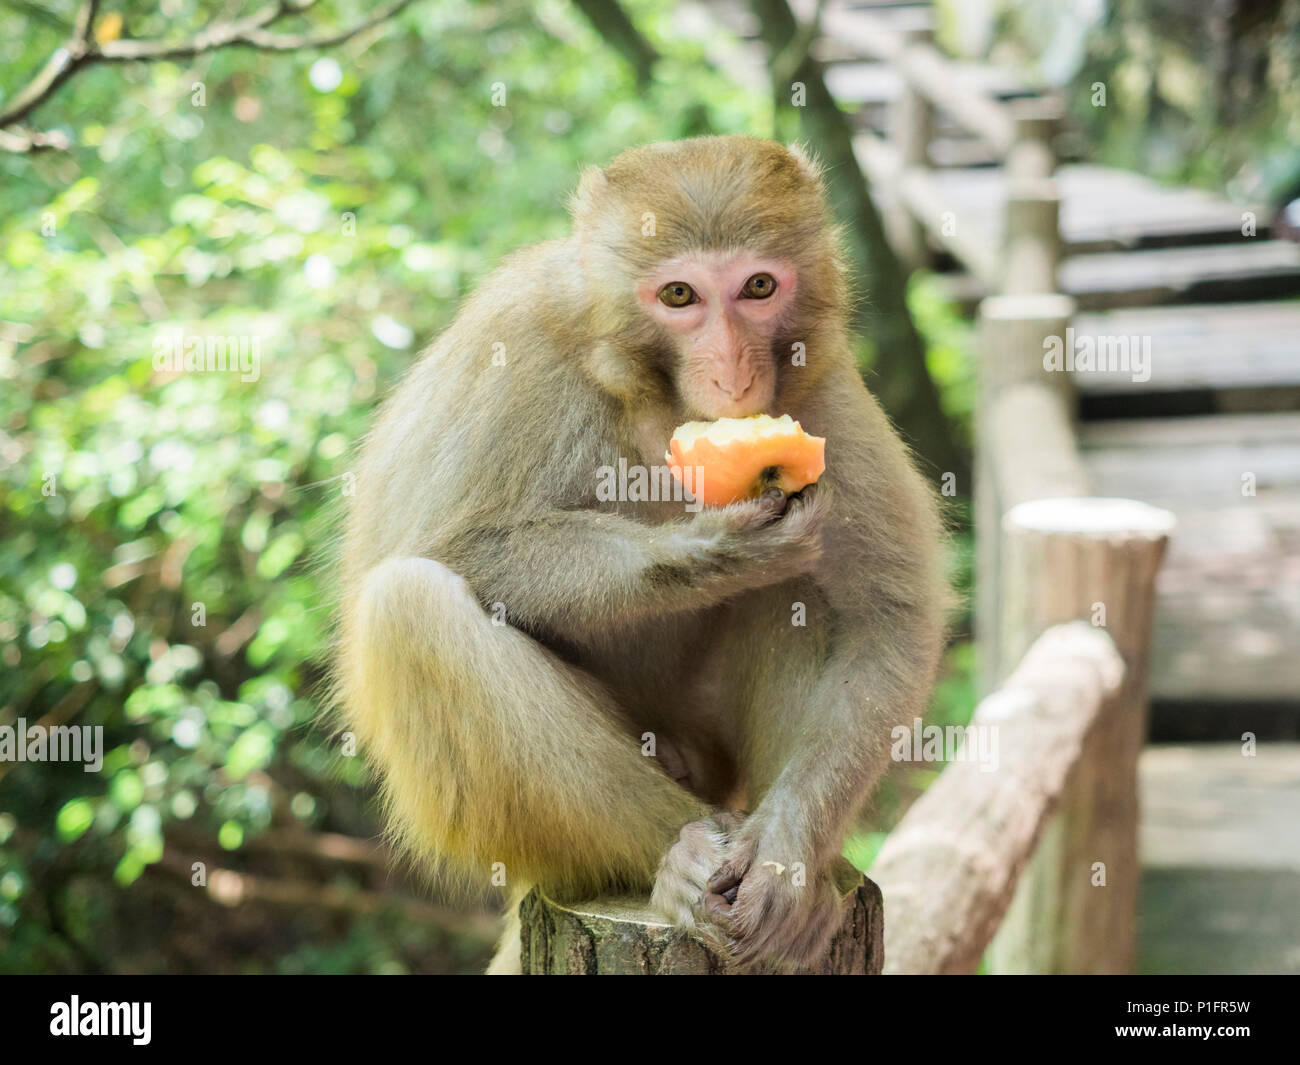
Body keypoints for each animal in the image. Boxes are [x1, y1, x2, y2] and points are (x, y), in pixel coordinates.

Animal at [333, 135, 951, 974]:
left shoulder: (821, 384)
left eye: (759, 287)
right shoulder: (513, 338)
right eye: (680, 296)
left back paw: (793, 874)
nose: (733, 370)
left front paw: (785, 864)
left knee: (802, 594)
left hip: (717, 755)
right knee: (410, 604)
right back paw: (679, 855)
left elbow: (886, 617)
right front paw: (710, 553)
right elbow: (433, 543)